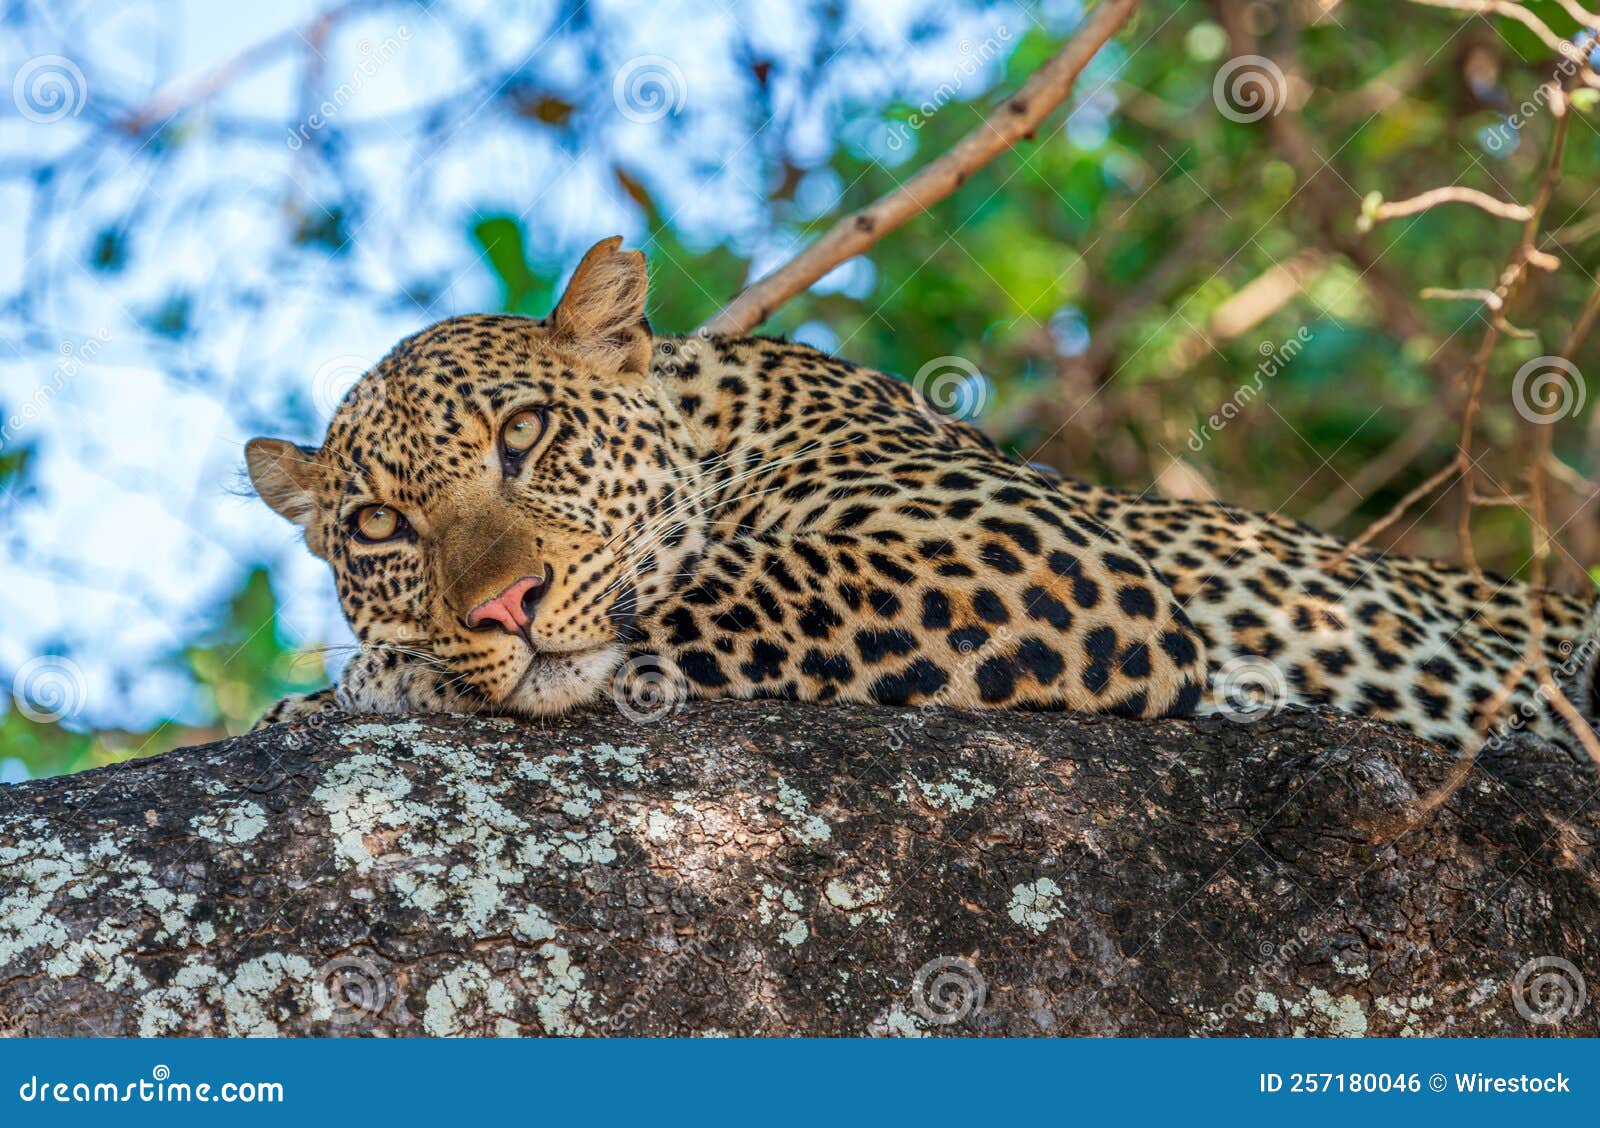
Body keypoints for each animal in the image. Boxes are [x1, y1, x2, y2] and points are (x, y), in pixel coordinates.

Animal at [247, 236, 1600, 758]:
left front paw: (370, 679)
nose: (500, 609)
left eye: (524, 434)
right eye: (378, 526)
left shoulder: (1030, 549)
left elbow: (719, 584)